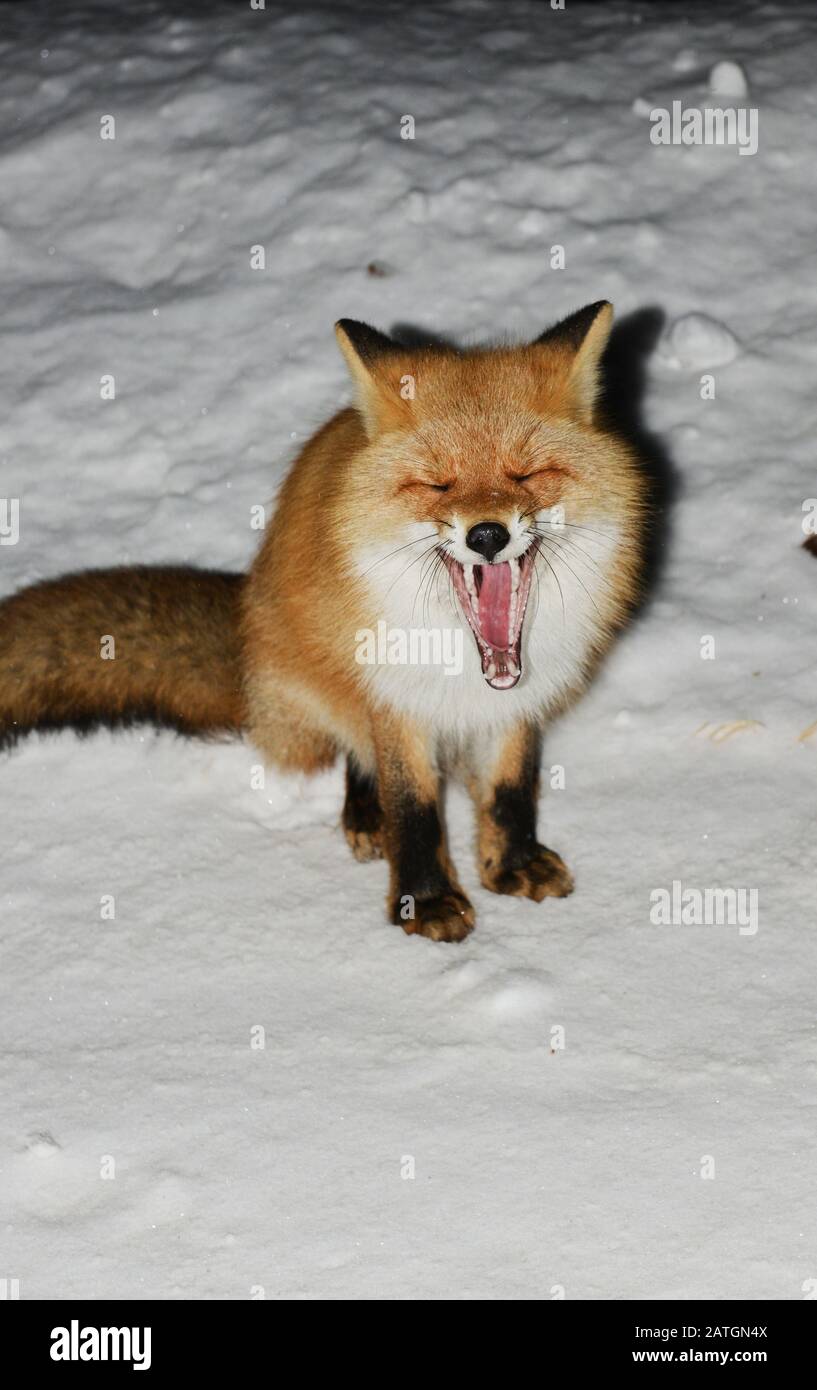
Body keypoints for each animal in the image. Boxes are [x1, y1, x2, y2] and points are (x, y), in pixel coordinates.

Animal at [0, 300, 646, 941]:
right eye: (435, 483)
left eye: (528, 473)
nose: (487, 535)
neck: (464, 665)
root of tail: (245, 630)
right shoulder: (393, 698)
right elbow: (412, 807)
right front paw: (424, 902)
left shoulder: (518, 704)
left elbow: (511, 791)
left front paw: (511, 864)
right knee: (356, 761)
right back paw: (365, 816)